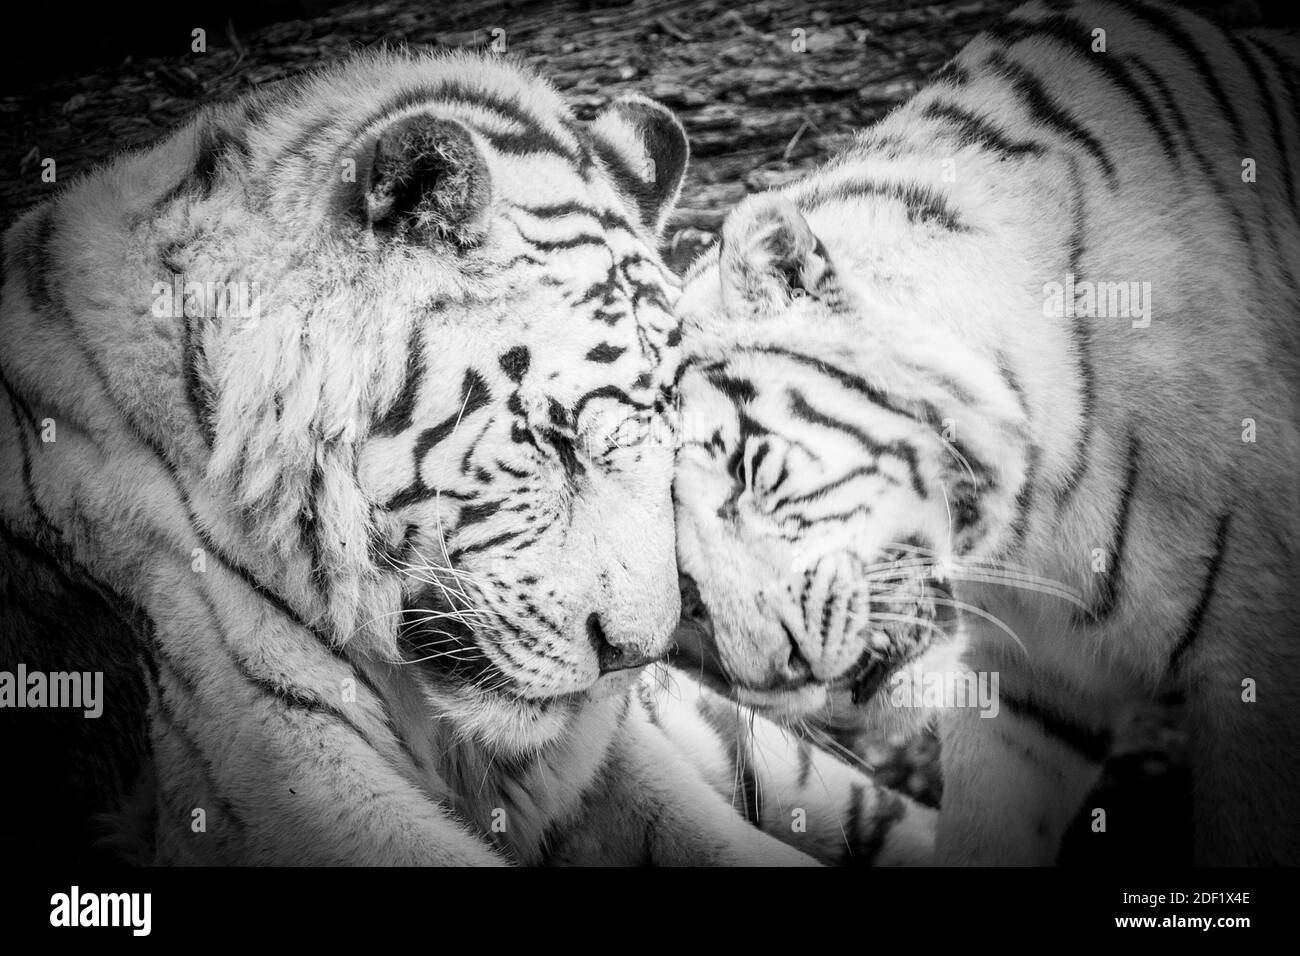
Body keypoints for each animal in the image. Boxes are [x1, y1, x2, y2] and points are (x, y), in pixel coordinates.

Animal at [671, 0, 1300, 865]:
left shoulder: (1259, 660)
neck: (1039, 523)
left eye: (745, 467)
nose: (784, 674)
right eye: (682, 592)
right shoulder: (1033, 687)